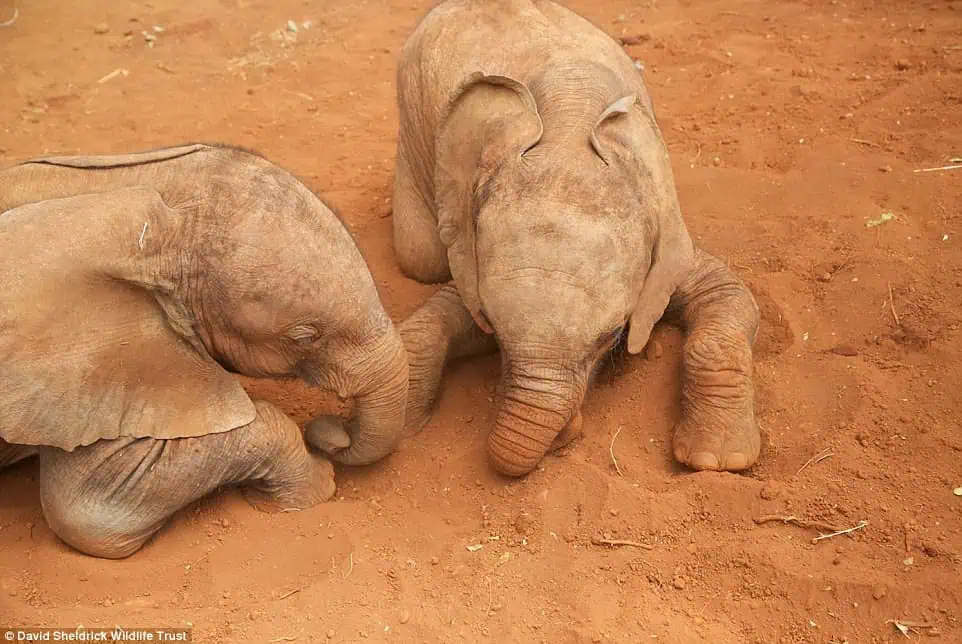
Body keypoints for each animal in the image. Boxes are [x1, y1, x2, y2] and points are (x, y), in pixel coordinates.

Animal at [392, 0, 761, 477]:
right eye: (493, 325)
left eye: (613, 335)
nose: (567, 431)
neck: (568, 127)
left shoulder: (663, 231)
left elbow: (725, 292)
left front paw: (717, 461)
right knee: (421, 256)